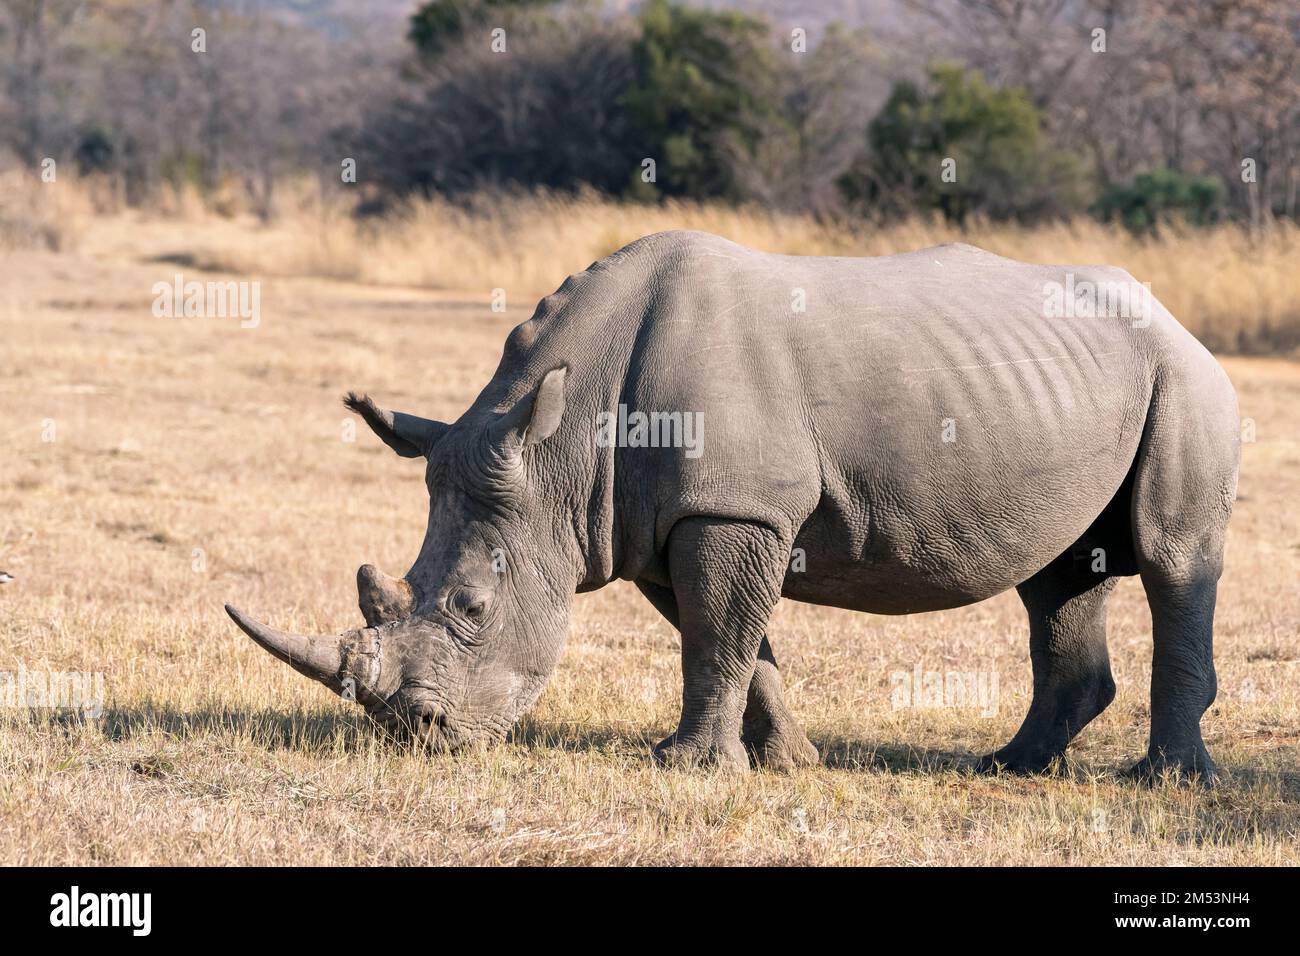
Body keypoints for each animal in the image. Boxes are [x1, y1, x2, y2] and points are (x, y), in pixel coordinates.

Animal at [226, 230, 1239, 781]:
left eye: (474, 608)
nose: (417, 735)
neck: (563, 442)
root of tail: (1177, 319)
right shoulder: (661, 517)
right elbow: (732, 640)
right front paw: (787, 764)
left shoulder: (730, 508)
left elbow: (718, 634)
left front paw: (683, 768)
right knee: (1061, 574)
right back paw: (1011, 765)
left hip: (1184, 378)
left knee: (1172, 560)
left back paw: (1164, 781)